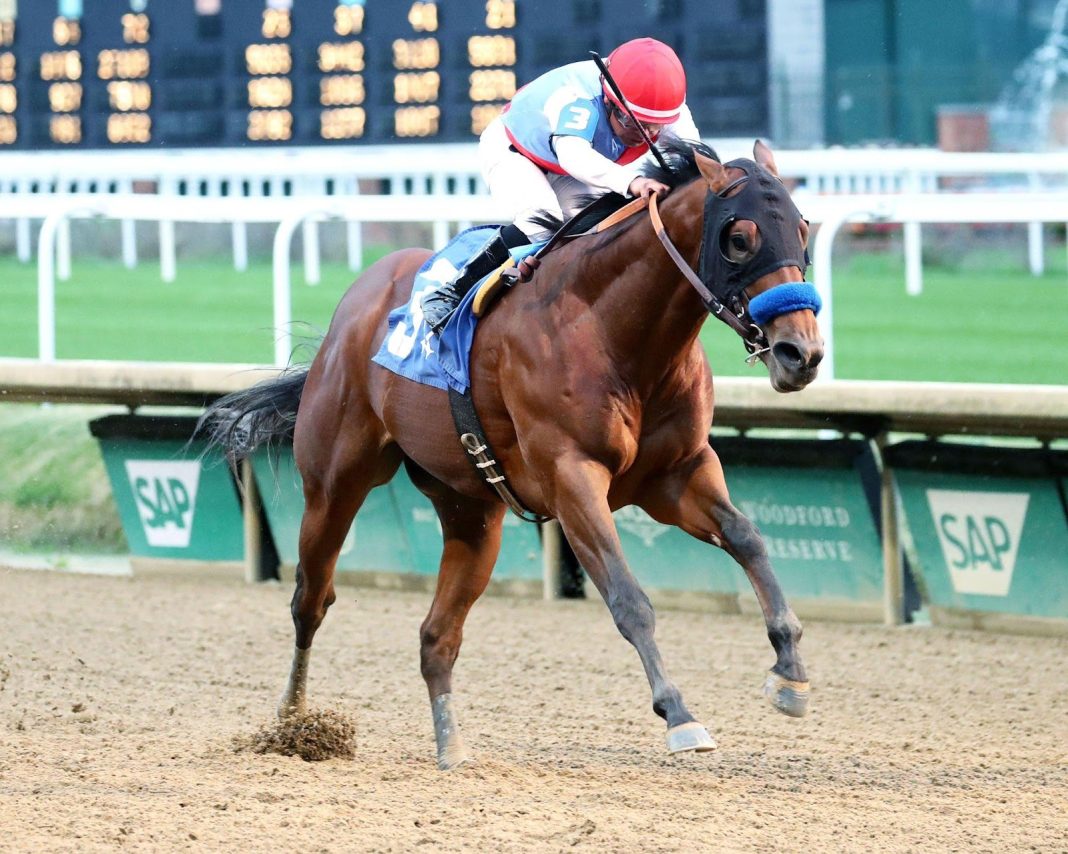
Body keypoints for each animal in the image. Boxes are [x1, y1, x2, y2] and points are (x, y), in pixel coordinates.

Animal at [201, 139, 824, 769]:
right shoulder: (572, 479)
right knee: (311, 598)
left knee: (436, 636)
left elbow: (748, 539)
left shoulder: (677, 473)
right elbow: (629, 599)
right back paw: (294, 723)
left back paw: (450, 746)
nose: (801, 353)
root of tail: (355, 303)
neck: (614, 331)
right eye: (739, 237)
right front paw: (679, 714)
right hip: (335, 482)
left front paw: (790, 671)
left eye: (802, 228)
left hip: (472, 512)